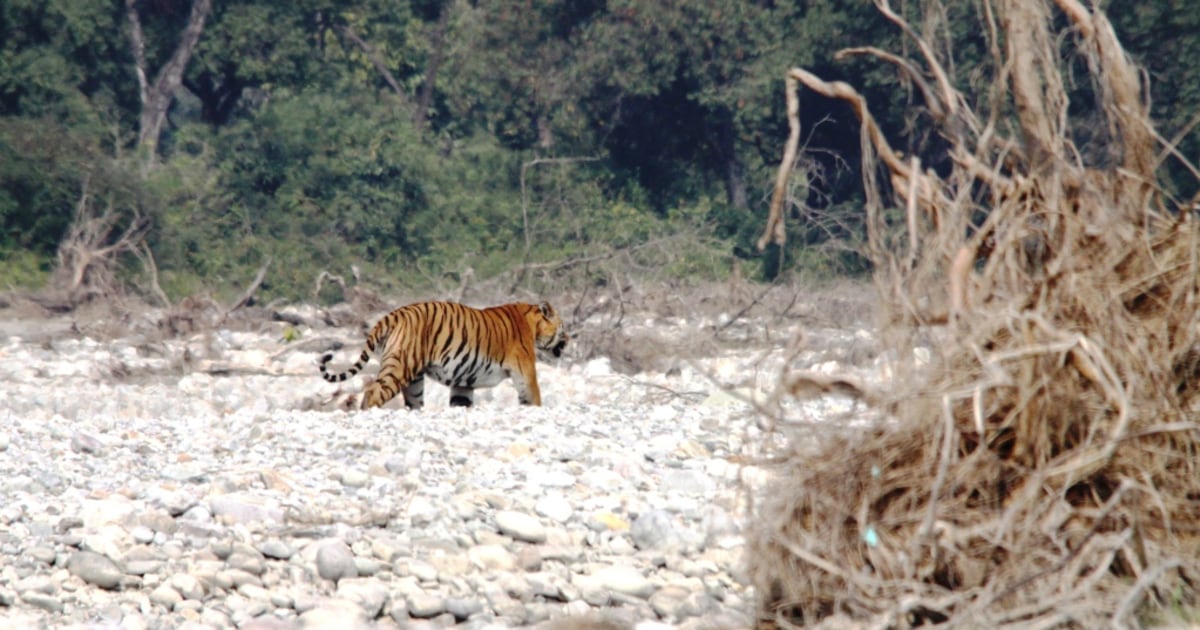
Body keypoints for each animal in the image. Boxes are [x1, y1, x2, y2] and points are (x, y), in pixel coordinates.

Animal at [319, 300, 568, 409]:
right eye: (562, 326)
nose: (568, 339)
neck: (533, 323)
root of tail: (394, 314)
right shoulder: (525, 372)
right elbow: (533, 398)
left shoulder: (464, 382)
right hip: (399, 367)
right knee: (373, 391)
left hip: (414, 379)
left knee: (413, 401)